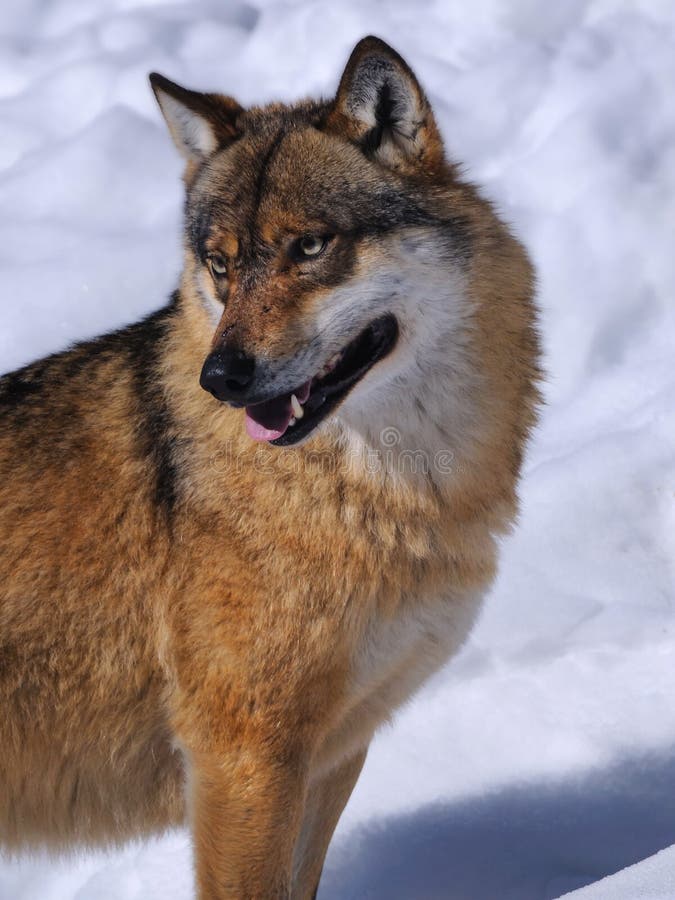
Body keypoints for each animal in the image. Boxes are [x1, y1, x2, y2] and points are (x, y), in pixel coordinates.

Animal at [0, 36, 540, 899]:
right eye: (221, 266)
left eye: (309, 247)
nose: (220, 379)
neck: (389, 491)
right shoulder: (242, 759)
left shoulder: (328, 755)